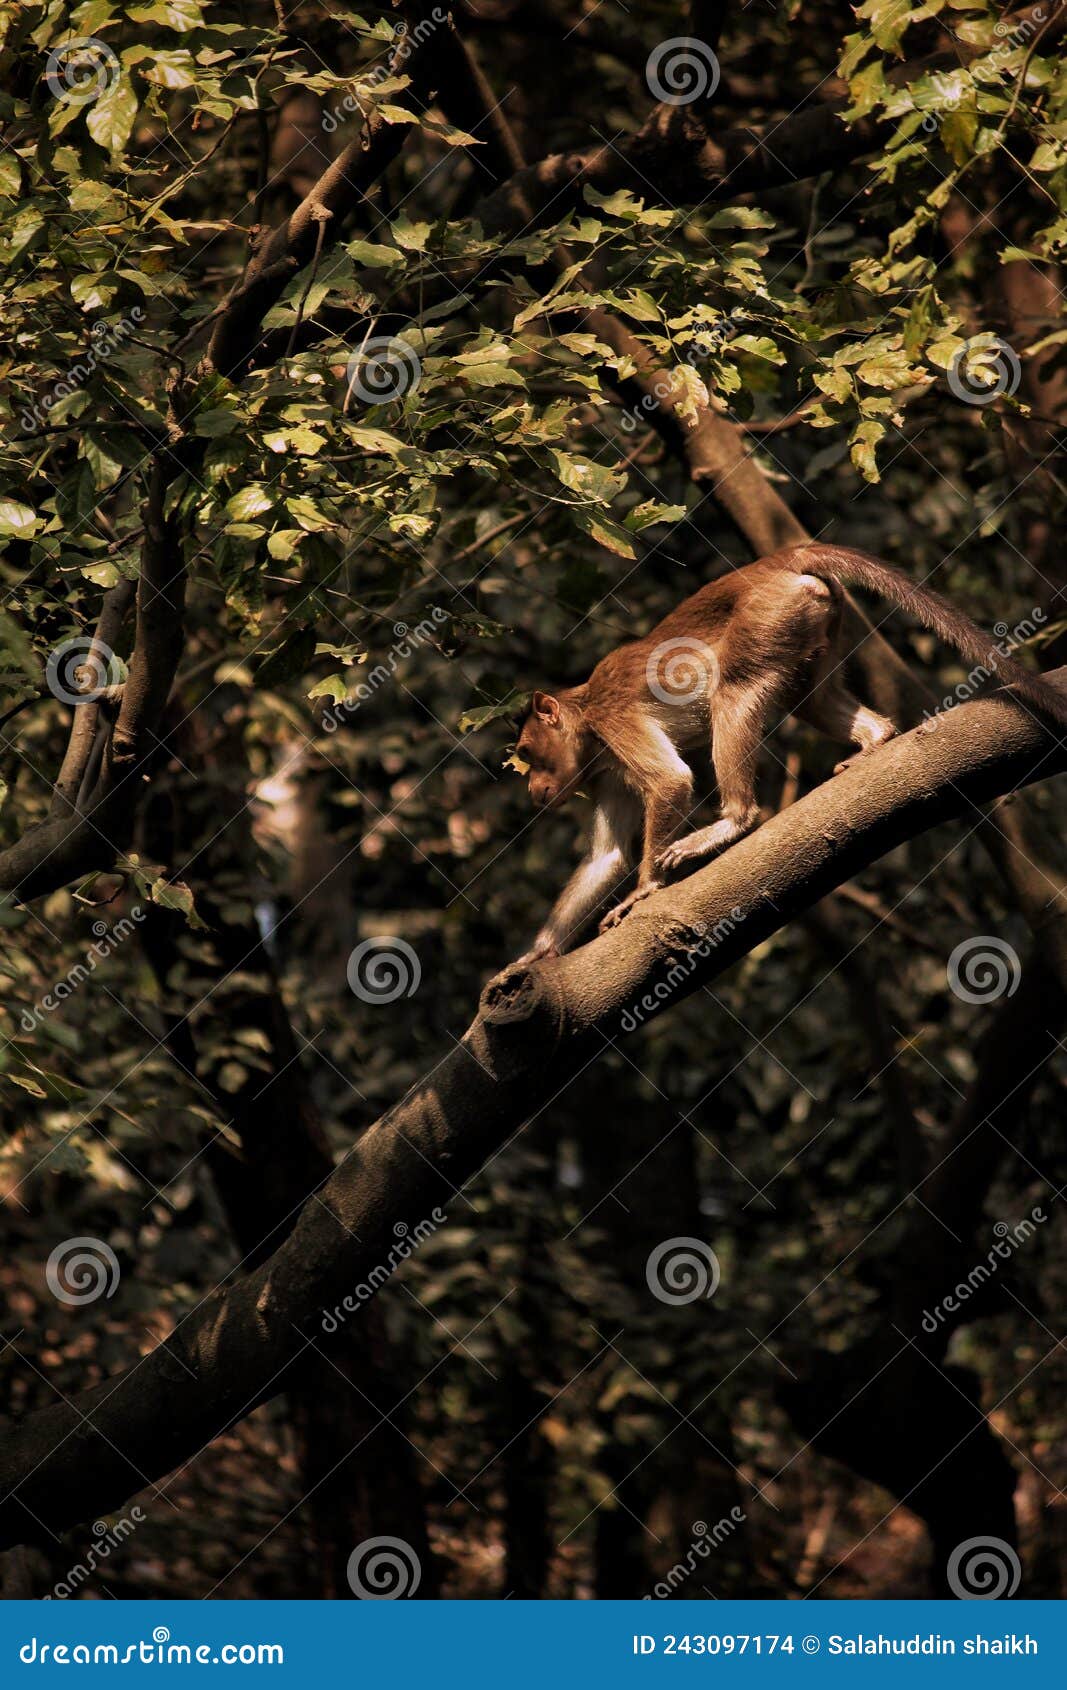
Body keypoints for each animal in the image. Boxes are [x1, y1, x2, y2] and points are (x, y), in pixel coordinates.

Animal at [514, 541, 1067, 962]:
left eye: (527, 753)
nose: (533, 790)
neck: (587, 716)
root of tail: (777, 561)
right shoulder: (604, 770)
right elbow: (605, 857)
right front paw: (531, 958)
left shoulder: (614, 720)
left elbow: (671, 782)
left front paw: (643, 892)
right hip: (813, 616)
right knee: (809, 698)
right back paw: (875, 738)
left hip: (769, 617)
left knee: (732, 694)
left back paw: (735, 820)